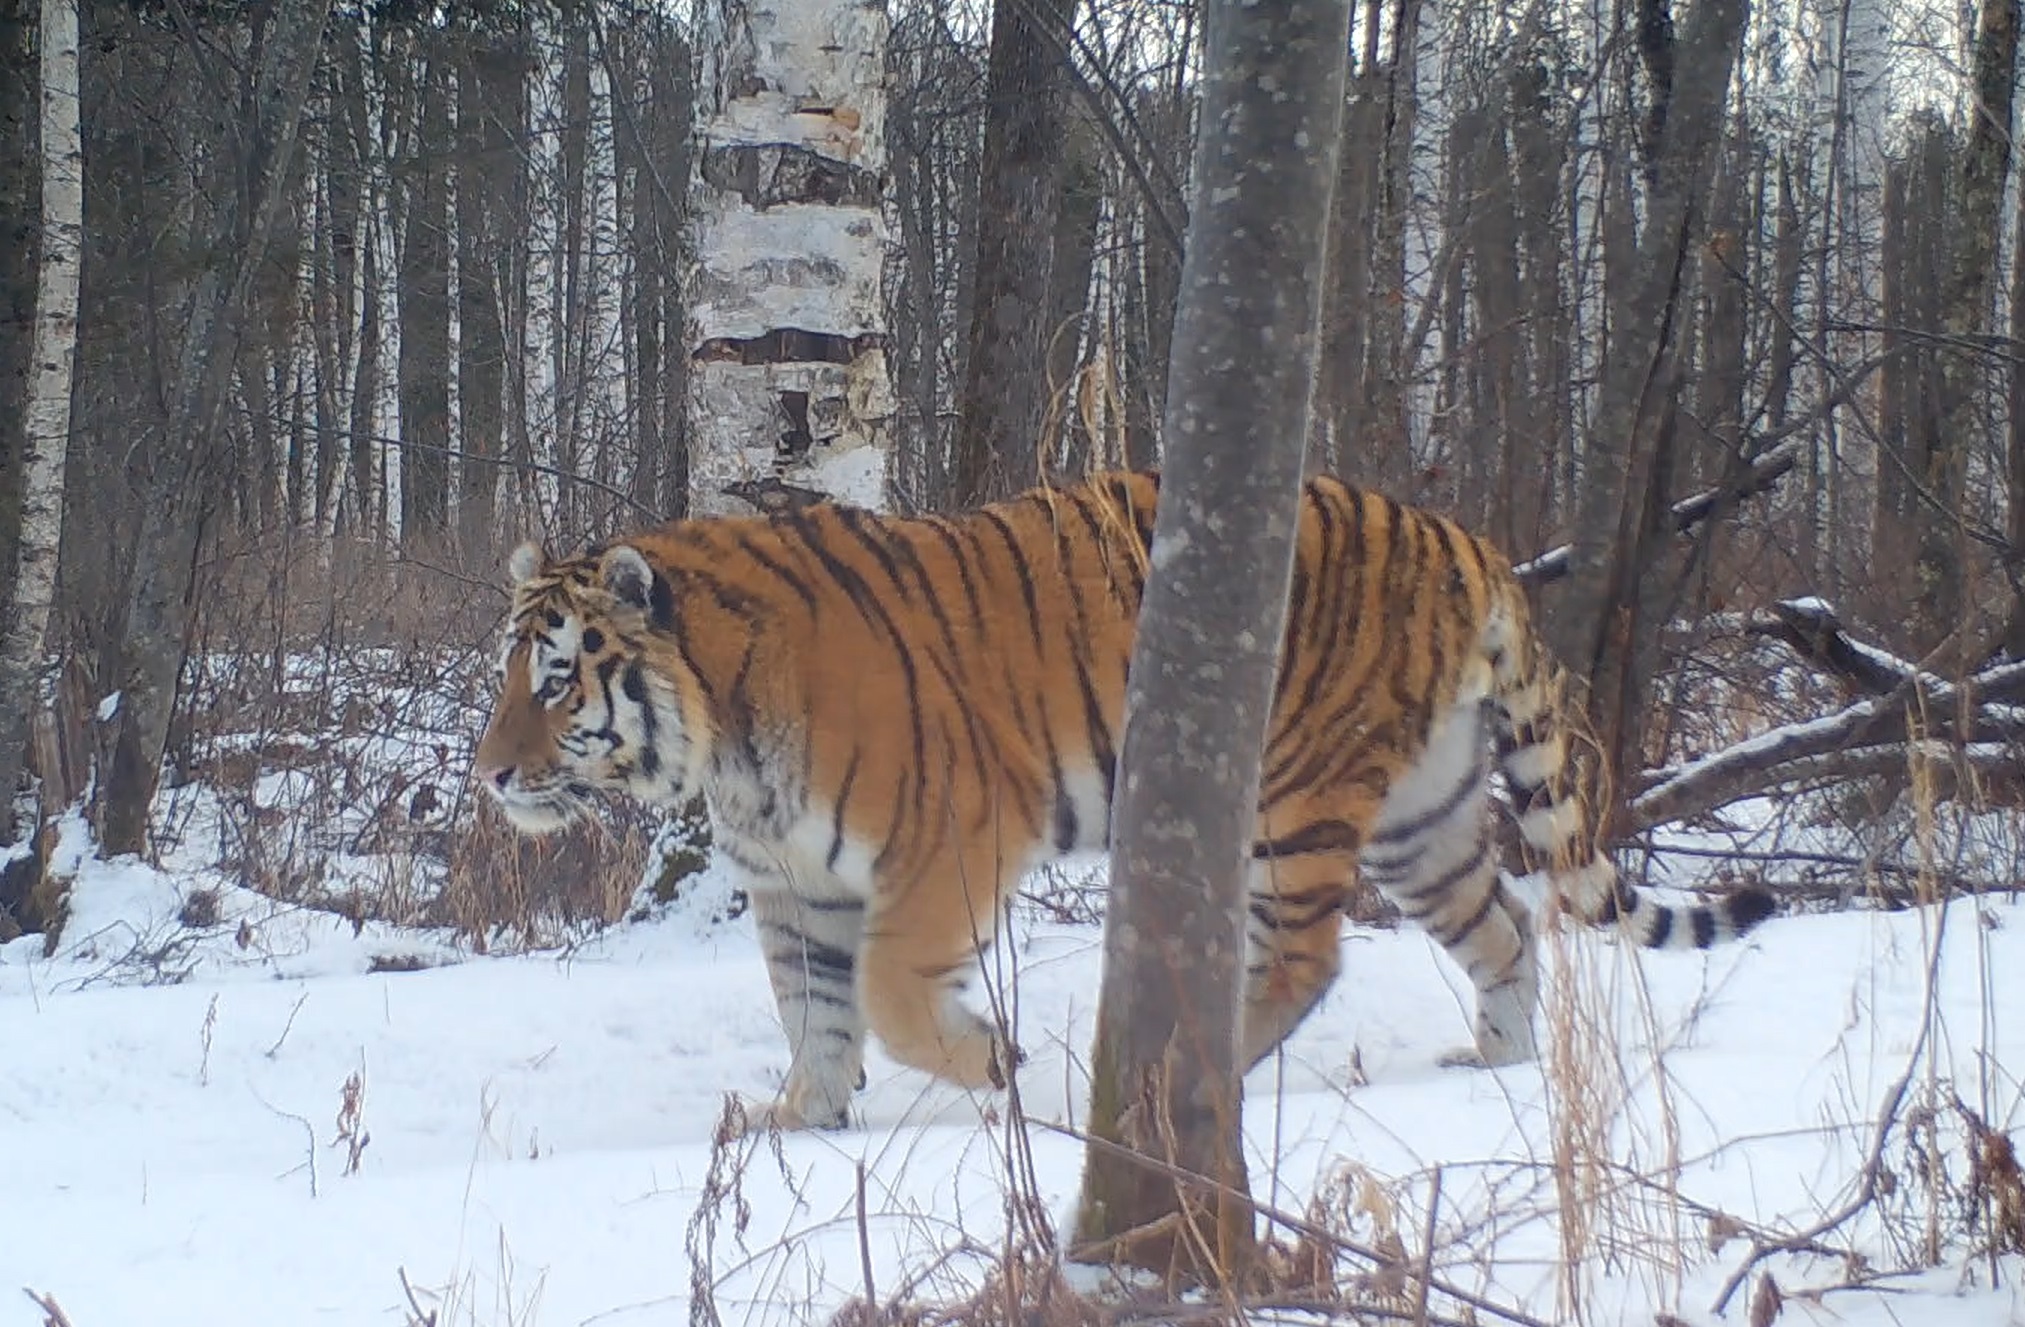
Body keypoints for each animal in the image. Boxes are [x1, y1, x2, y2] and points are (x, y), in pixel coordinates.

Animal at [472, 470, 1774, 1131]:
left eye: (557, 679)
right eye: (507, 670)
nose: (488, 773)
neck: (723, 743)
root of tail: (1464, 538)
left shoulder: (945, 842)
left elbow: (887, 996)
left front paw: (986, 1059)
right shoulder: (794, 887)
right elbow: (816, 1011)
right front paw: (801, 1116)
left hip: (1292, 793)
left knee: (1308, 955)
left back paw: (1182, 1074)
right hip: (1426, 817)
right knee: (1502, 926)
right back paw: (1492, 1067)